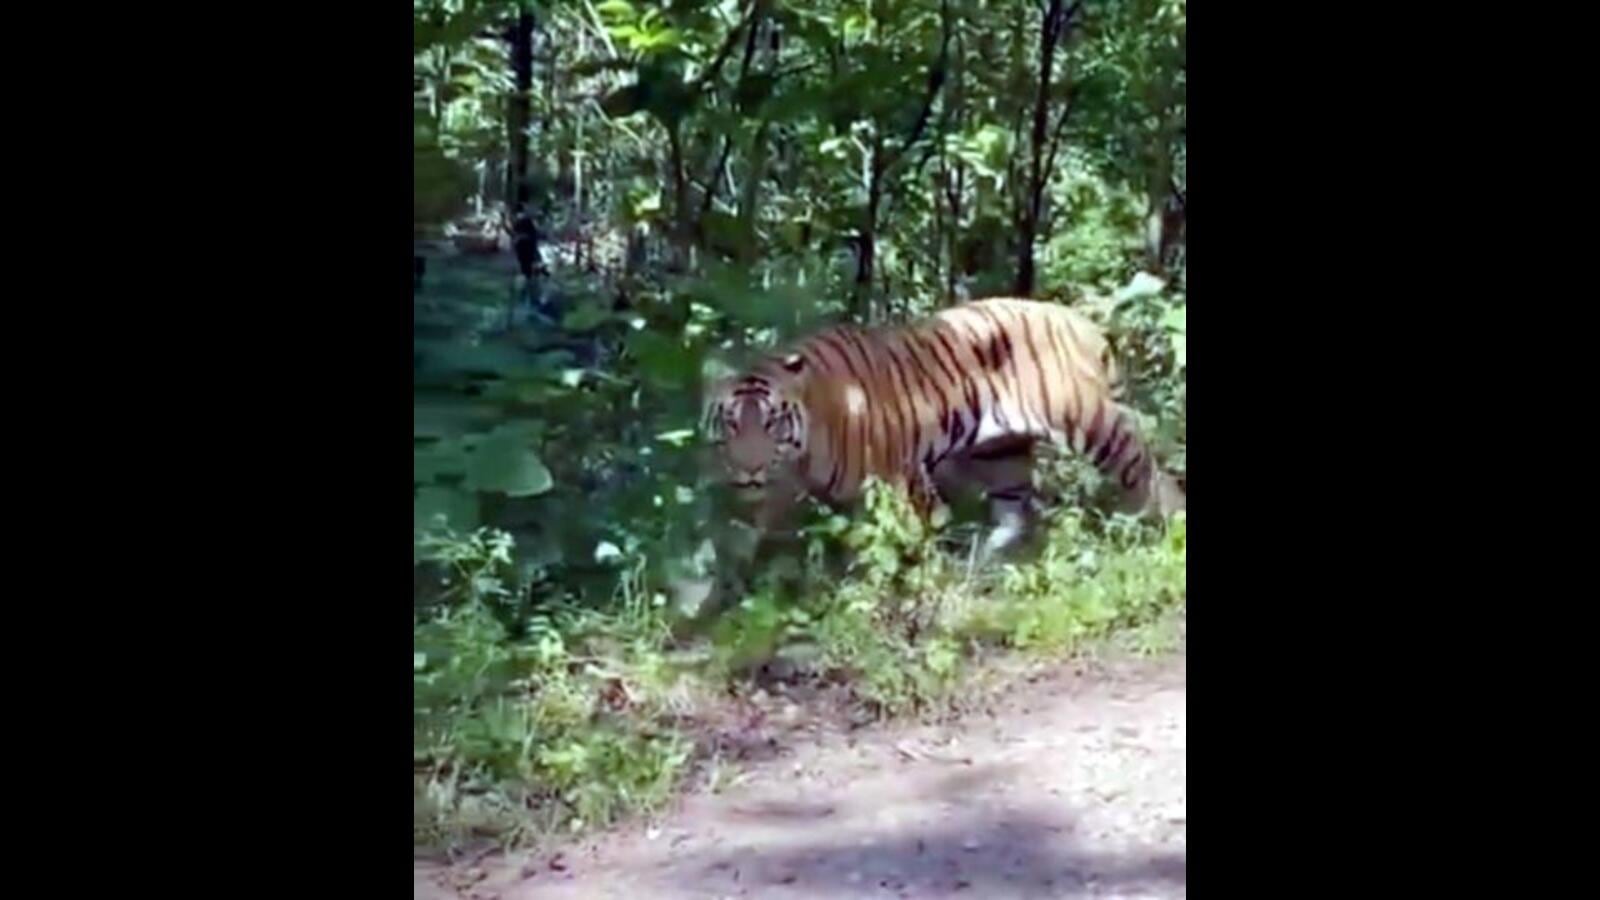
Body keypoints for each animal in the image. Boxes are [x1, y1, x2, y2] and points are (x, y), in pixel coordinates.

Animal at [701, 296, 1186, 557]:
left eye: (772, 423)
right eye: (732, 424)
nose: (749, 470)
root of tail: (1083, 322)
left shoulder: (900, 479)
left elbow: (908, 539)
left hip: (1092, 423)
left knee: (1148, 473)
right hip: (1002, 450)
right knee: (1014, 513)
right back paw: (989, 560)